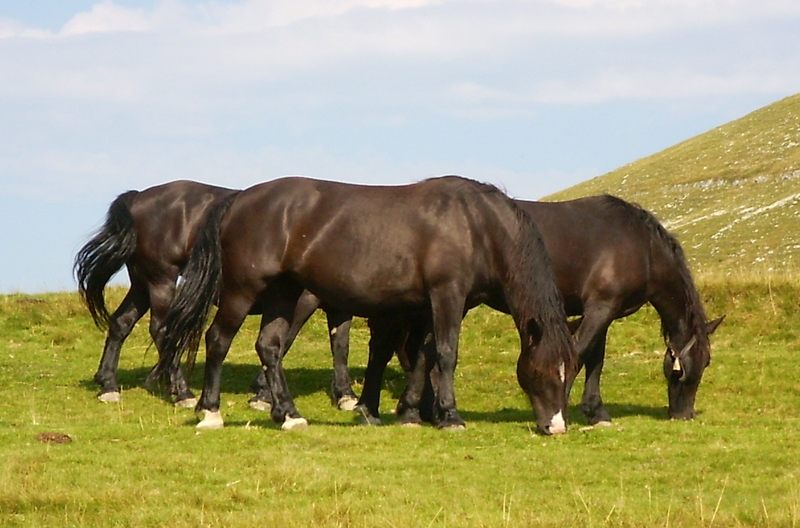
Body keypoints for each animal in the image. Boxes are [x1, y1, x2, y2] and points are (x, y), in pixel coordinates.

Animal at [73, 180, 359, 410]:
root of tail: (138, 197)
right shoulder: (302, 301)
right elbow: (285, 340)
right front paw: (263, 393)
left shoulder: (340, 307)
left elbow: (340, 346)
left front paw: (346, 395)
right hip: (160, 280)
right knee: (161, 329)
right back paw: (182, 392)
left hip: (142, 284)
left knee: (122, 323)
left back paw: (109, 384)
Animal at [152, 176, 577, 434]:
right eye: (541, 372)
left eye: (569, 372)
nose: (556, 426)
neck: (475, 225)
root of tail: (238, 199)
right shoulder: (446, 296)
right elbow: (445, 353)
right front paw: (450, 416)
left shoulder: (427, 306)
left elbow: (422, 356)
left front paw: (411, 412)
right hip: (242, 291)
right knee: (218, 341)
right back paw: (210, 410)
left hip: (284, 294)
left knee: (269, 346)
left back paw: (288, 415)